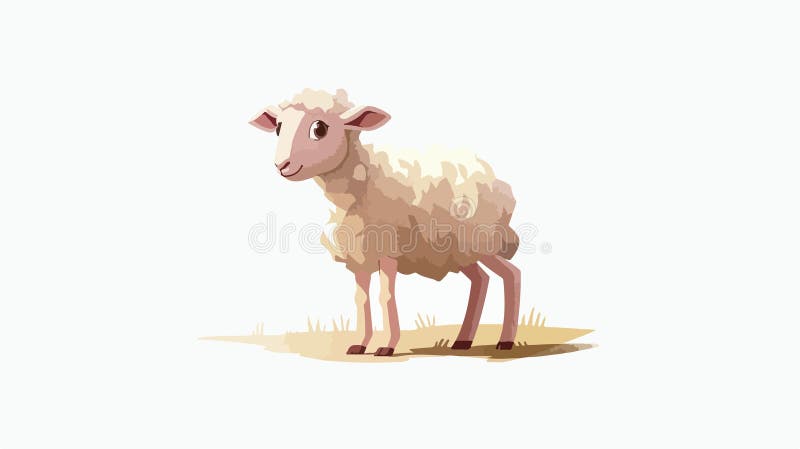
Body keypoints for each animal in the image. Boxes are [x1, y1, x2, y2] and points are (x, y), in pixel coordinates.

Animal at [250, 89, 522, 356]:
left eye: (319, 129)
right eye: (278, 127)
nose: (281, 165)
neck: (361, 185)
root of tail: (492, 177)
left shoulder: (388, 250)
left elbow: (386, 295)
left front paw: (387, 345)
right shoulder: (359, 256)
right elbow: (361, 299)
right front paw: (360, 344)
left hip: (482, 241)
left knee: (511, 274)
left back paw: (505, 341)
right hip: (457, 251)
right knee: (481, 280)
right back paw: (463, 340)